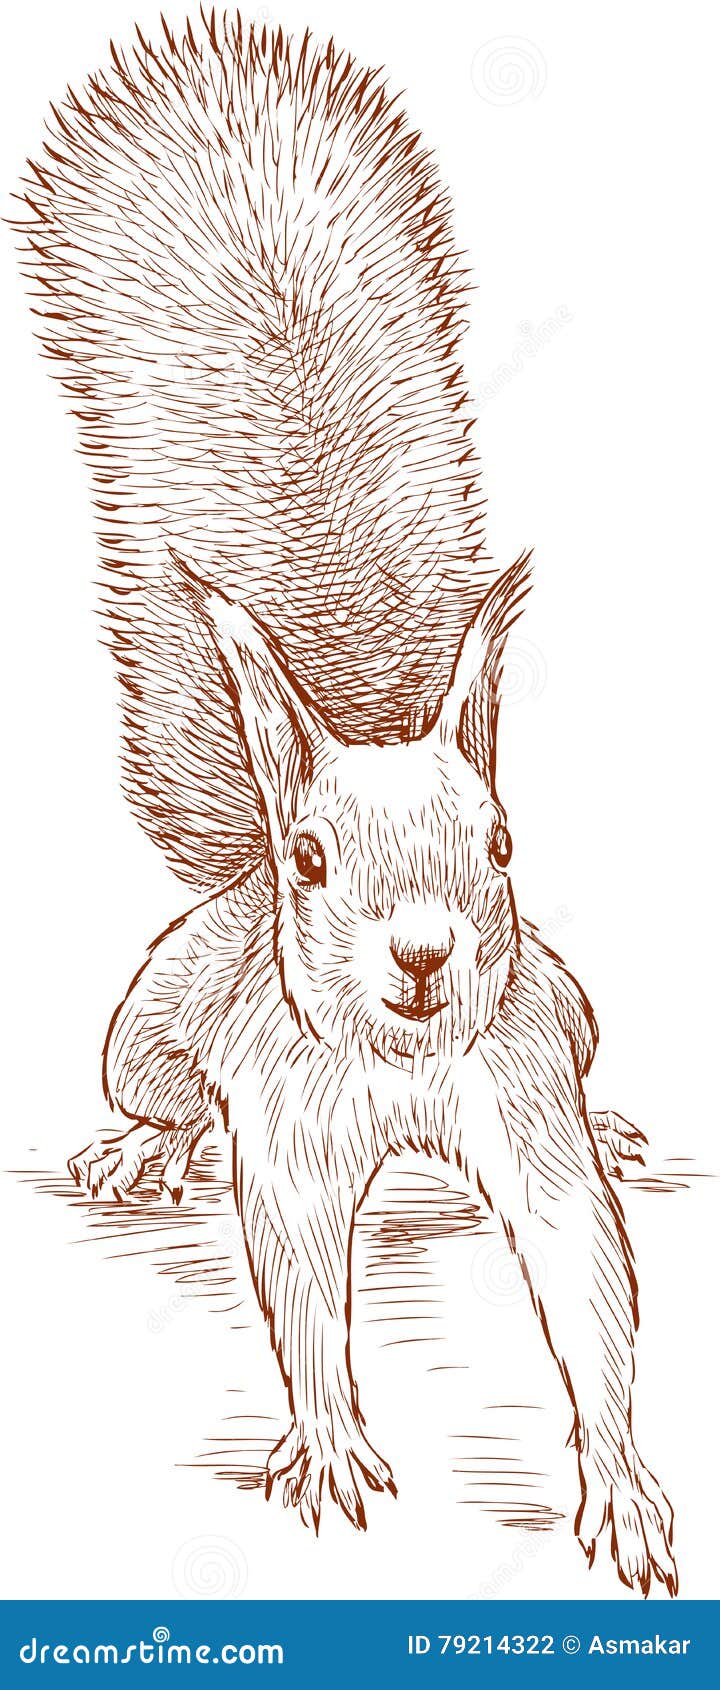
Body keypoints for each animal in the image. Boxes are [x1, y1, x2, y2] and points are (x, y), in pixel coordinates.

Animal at [16, 11, 675, 1595]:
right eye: (312, 858)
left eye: (503, 841)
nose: (426, 954)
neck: (405, 1069)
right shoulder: (288, 1122)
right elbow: (302, 1278)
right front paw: (324, 1440)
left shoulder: (523, 1086)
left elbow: (584, 1267)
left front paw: (624, 1484)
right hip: (150, 1028)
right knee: (162, 1098)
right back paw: (141, 1146)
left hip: (573, 1011)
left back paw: (626, 1117)